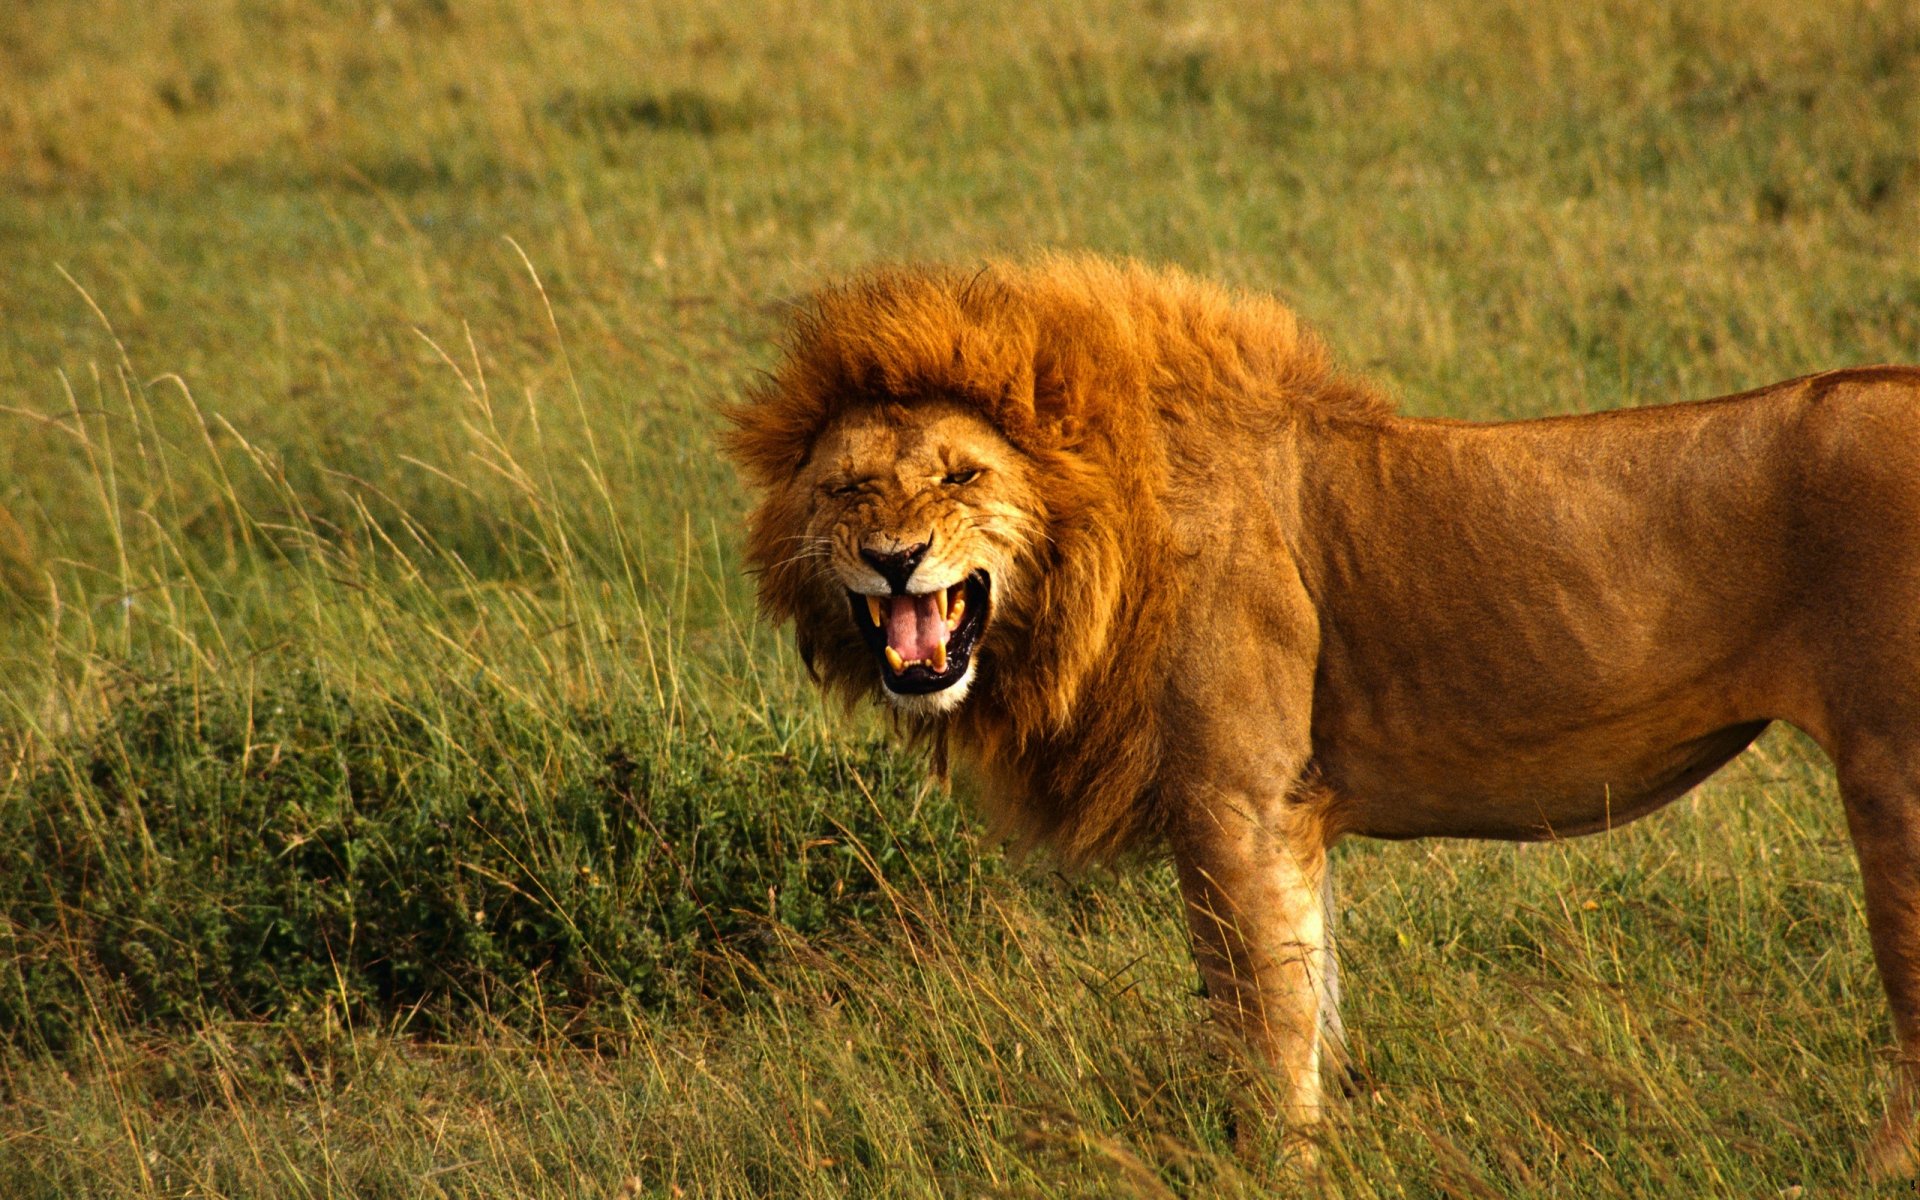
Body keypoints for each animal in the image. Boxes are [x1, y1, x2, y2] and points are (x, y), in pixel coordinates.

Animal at [725, 254, 1920, 1177]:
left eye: (962, 477)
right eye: (848, 491)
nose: (894, 559)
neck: (1096, 550)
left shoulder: (1235, 804)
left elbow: (1261, 1021)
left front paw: (1274, 1168)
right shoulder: (1290, 818)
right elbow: (1314, 999)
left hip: (1893, 780)